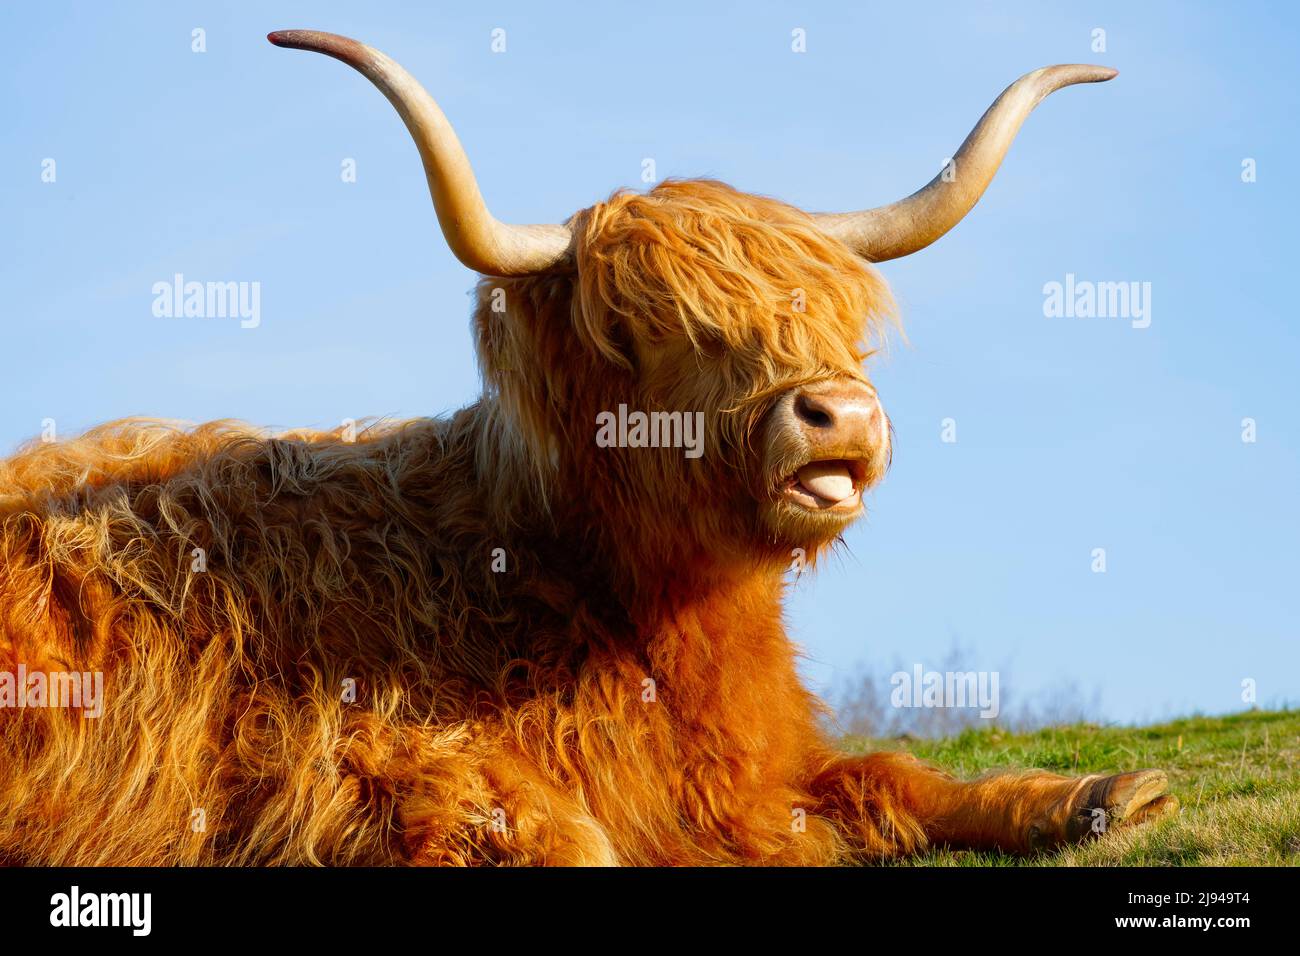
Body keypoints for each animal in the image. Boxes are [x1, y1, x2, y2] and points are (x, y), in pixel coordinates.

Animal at [0, 30, 1176, 865]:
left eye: (840, 318)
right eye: (663, 329)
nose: (840, 412)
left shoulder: (753, 771)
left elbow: (893, 774)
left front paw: (1103, 796)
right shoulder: (345, 755)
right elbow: (569, 835)